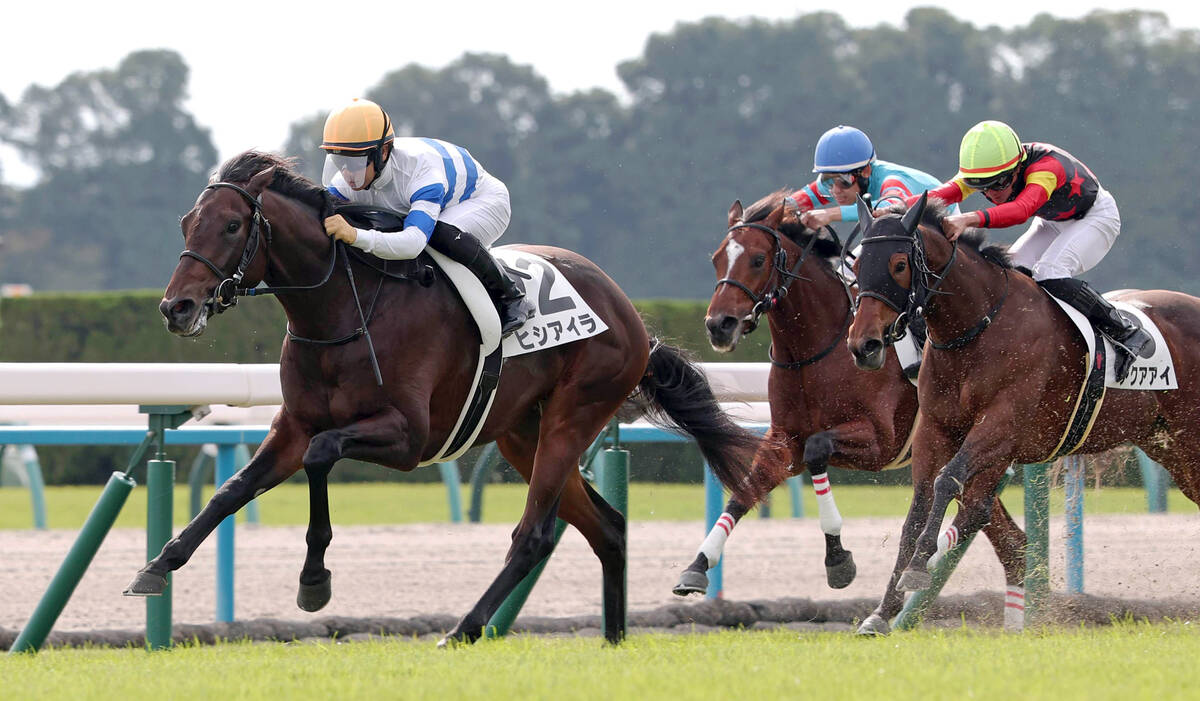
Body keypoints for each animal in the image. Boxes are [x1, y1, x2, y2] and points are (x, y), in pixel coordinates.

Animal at [123, 151, 773, 646]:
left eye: (233, 226)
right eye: (187, 222)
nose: (176, 307)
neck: (344, 308)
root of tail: (630, 314)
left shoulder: (408, 437)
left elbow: (322, 456)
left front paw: (314, 581)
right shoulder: (294, 426)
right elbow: (233, 490)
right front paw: (156, 567)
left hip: (575, 415)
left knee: (533, 535)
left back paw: (464, 628)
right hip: (522, 435)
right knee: (607, 528)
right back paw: (612, 640)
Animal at [673, 189, 1026, 621]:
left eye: (757, 259)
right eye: (717, 258)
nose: (718, 325)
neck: (816, 348)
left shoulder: (880, 442)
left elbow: (818, 452)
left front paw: (838, 561)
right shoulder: (784, 440)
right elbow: (746, 490)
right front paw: (696, 567)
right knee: (1008, 538)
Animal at [847, 193, 1200, 634]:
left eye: (898, 264)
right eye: (856, 266)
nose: (864, 345)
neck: (976, 329)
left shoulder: (1001, 425)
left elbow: (947, 483)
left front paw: (919, 566)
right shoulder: (936, 429)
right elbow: (921, 506)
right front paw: (883, 610)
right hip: (1169, 446)